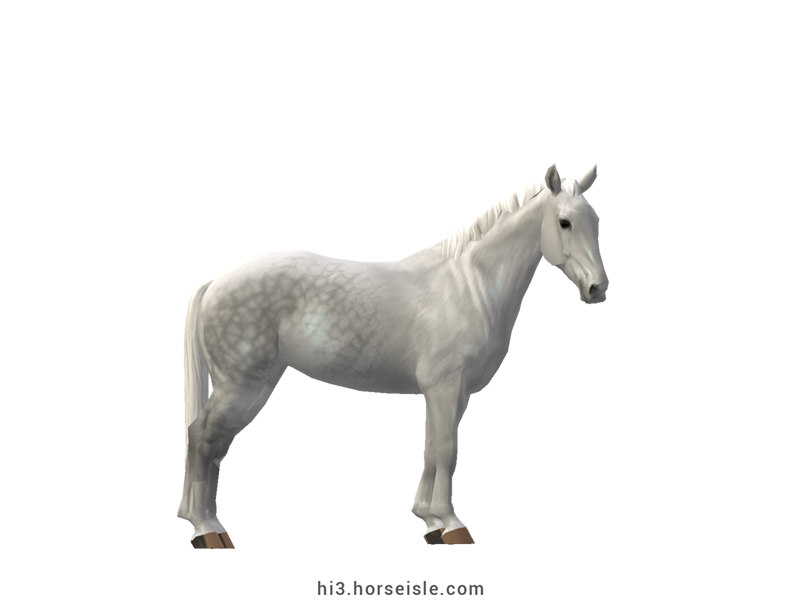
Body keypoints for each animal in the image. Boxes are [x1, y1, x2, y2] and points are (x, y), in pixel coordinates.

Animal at [178, 162, 608, 539]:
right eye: (564, 222)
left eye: (593, 219)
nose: (596, 288)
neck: (472, 286)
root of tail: (215, 283)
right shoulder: (443, 386)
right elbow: (447, 450)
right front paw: (448, 518)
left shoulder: (448, 392)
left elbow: (432, 449)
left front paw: (425, 516)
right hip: (238, 386)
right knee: (200, 436)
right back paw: (203, 524)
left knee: (202, 438)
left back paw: (199, 517)